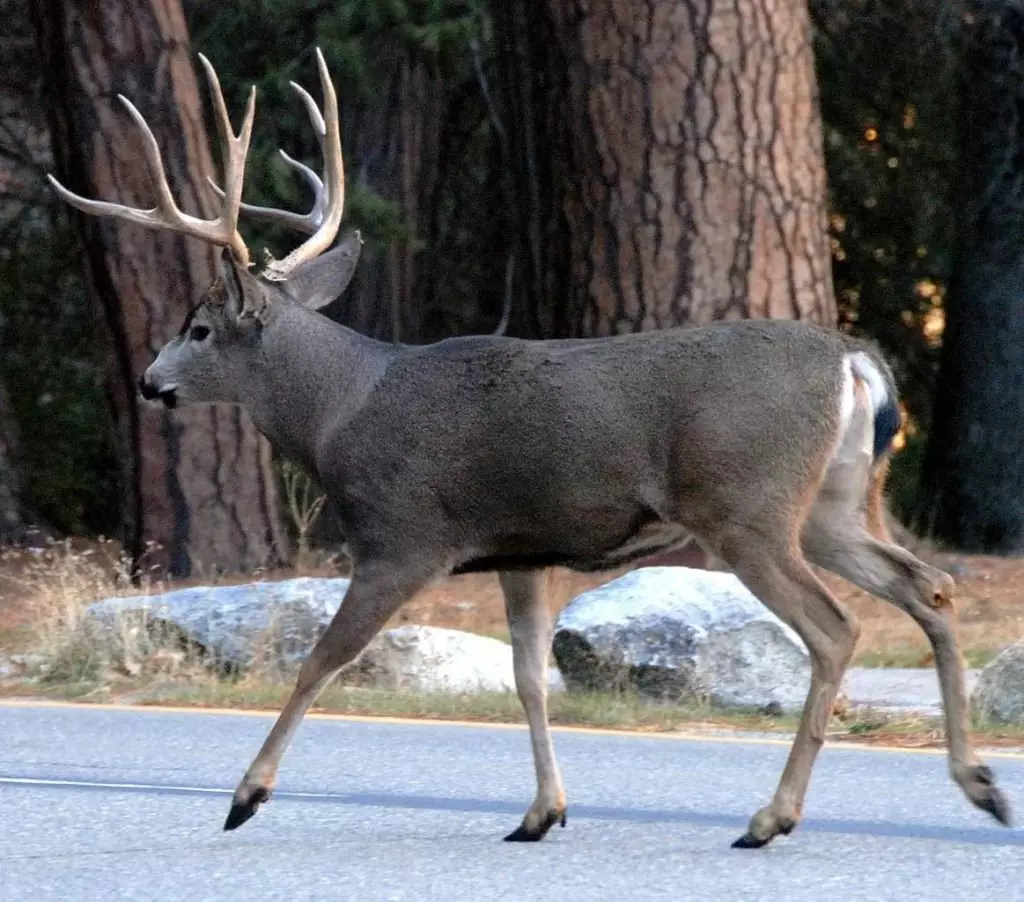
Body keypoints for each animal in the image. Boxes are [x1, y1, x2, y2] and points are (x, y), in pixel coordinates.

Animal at [48, 50, 1007, 851]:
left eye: (199, 329)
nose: (148, 382)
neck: (339, 411)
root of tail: (856, 361)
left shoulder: (402, 536)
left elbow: (323, 658)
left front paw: (246, 795)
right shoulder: (523, 549)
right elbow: (529, 677)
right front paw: (542, 813)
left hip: (749, 507)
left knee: (838, 628)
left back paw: (772, 818)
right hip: (834, 503)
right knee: (929, 585)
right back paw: (979, 784)